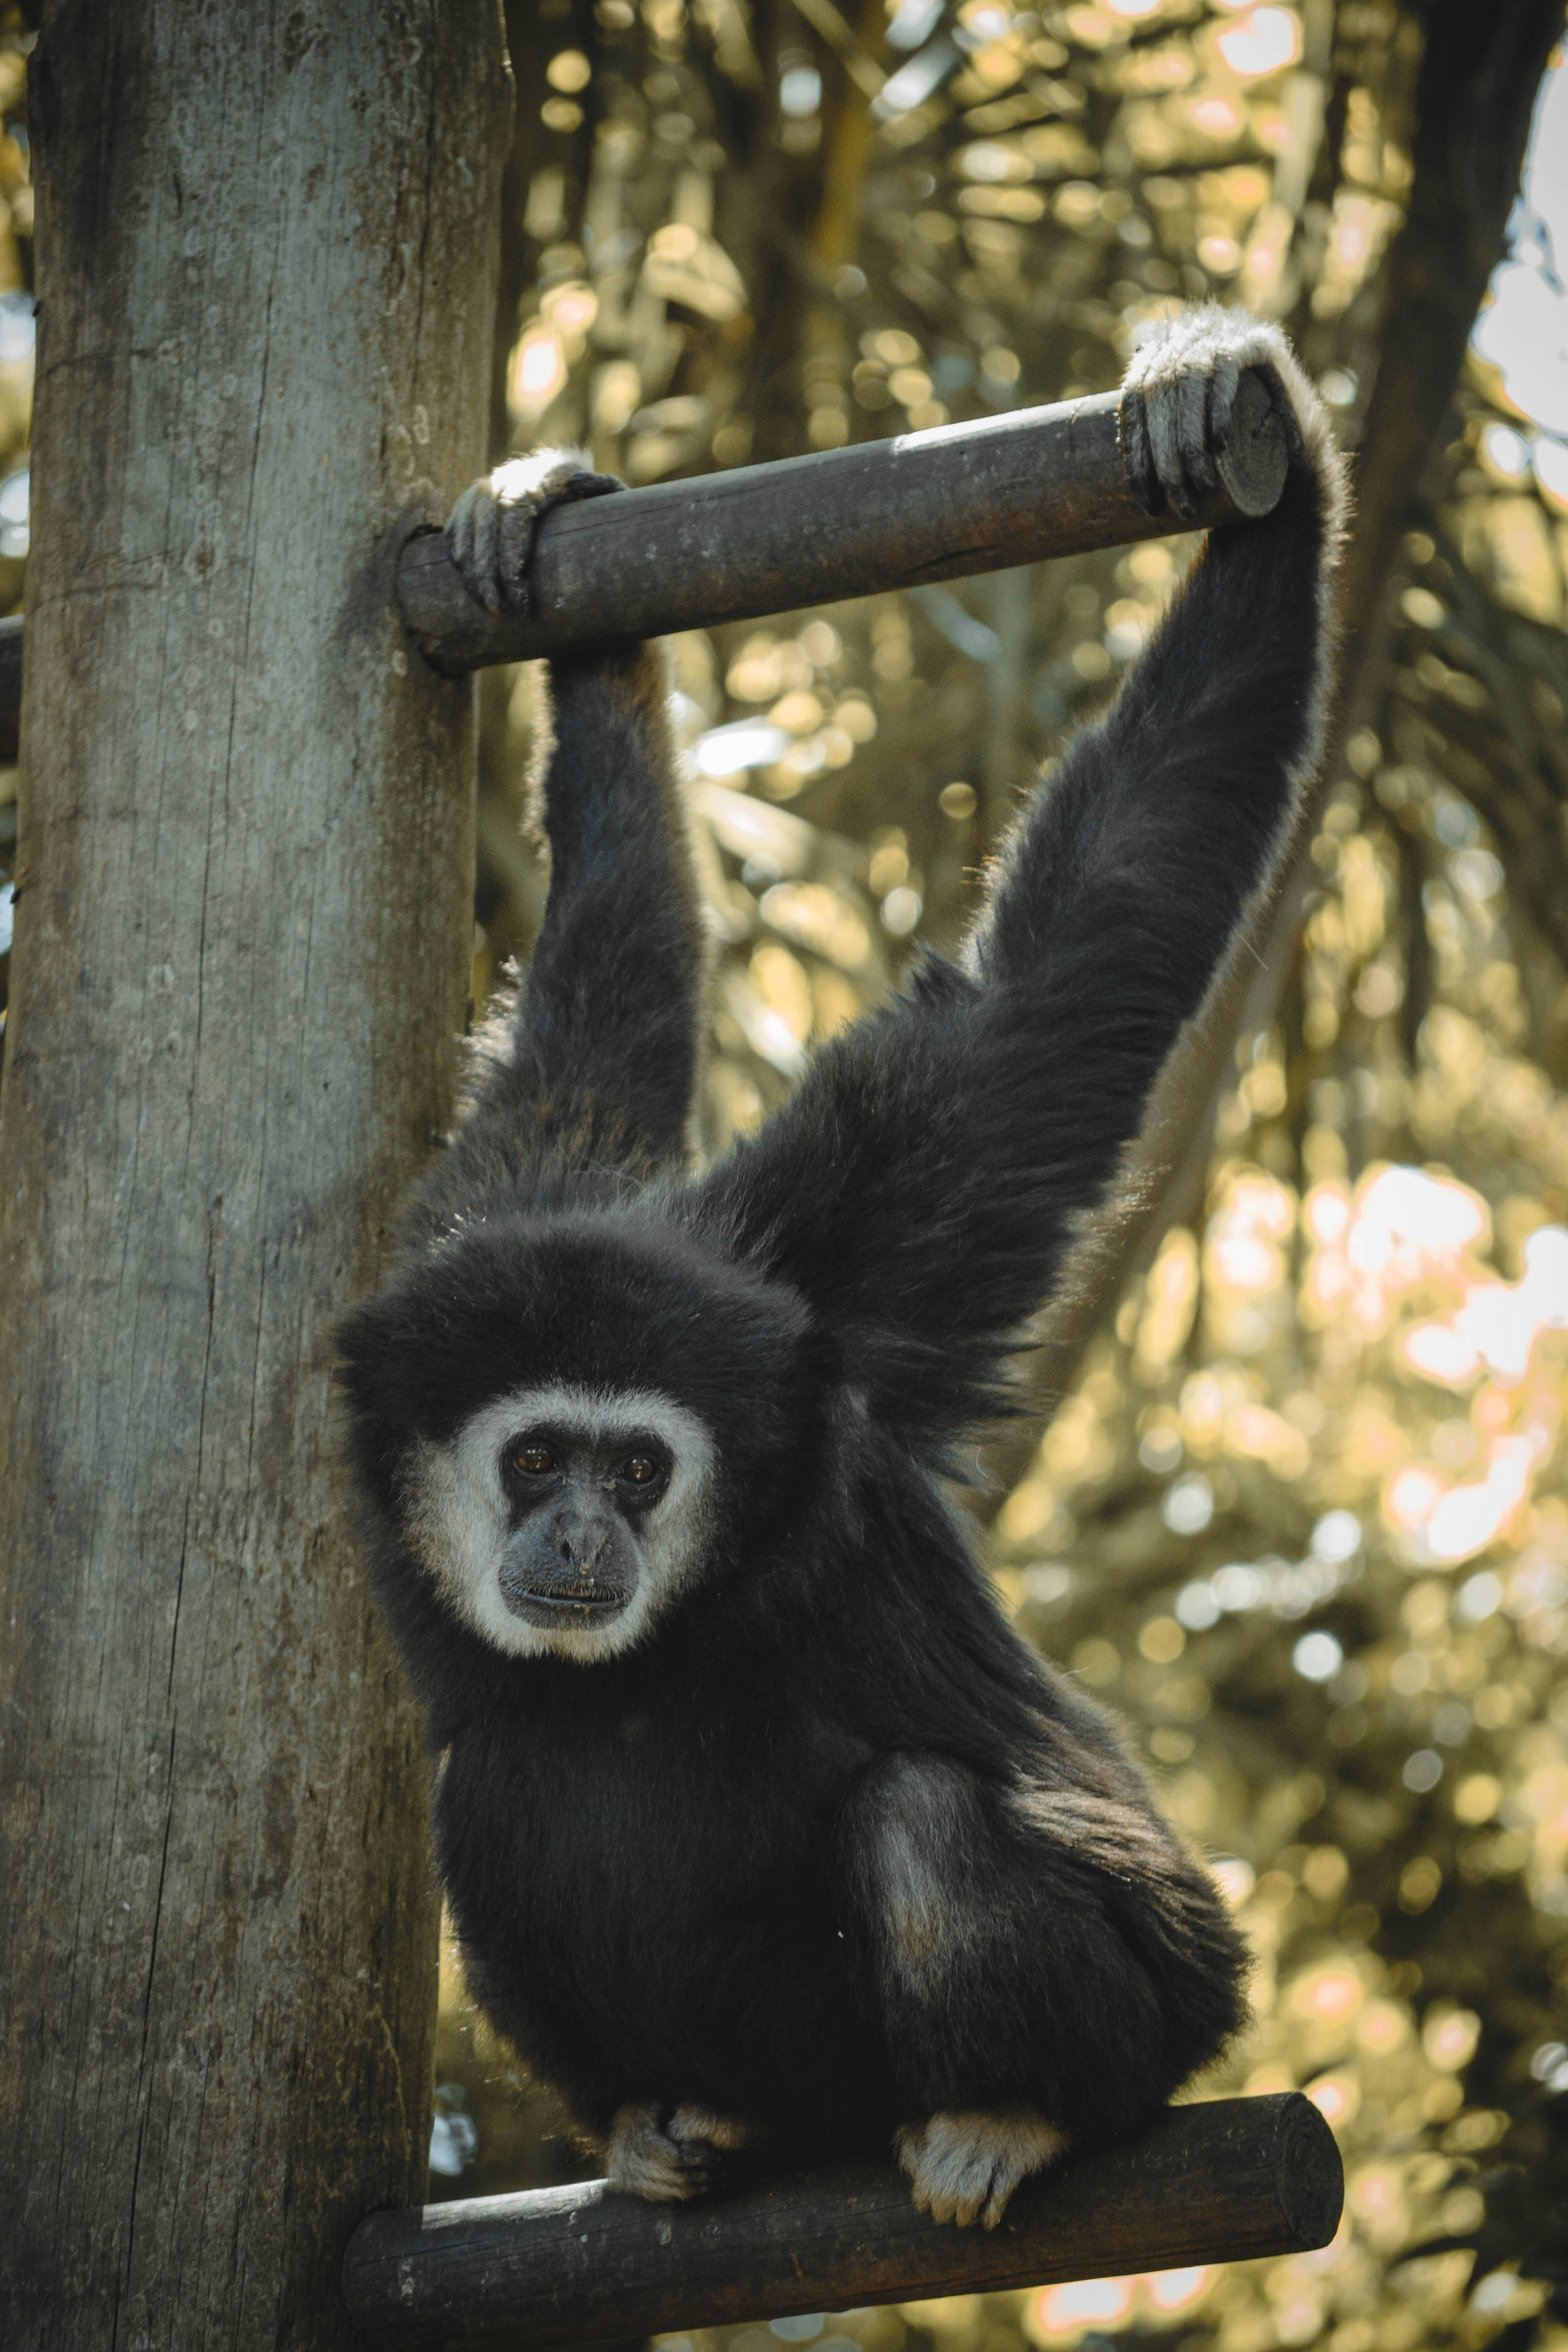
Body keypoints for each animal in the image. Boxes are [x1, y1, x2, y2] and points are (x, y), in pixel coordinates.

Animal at [339, 305, 1347, 2229]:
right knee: (493, 1782)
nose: (574, 1538)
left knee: (921, 1825)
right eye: (535, 1455)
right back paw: (675, 2121)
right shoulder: (499, 1231)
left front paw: (1240, 412)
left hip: (1154, 2016)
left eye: (638, 1469)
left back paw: (1010, 2112)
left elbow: (1068, 968)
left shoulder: (841, 1319)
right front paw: (578, 602)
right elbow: (590, 1044)